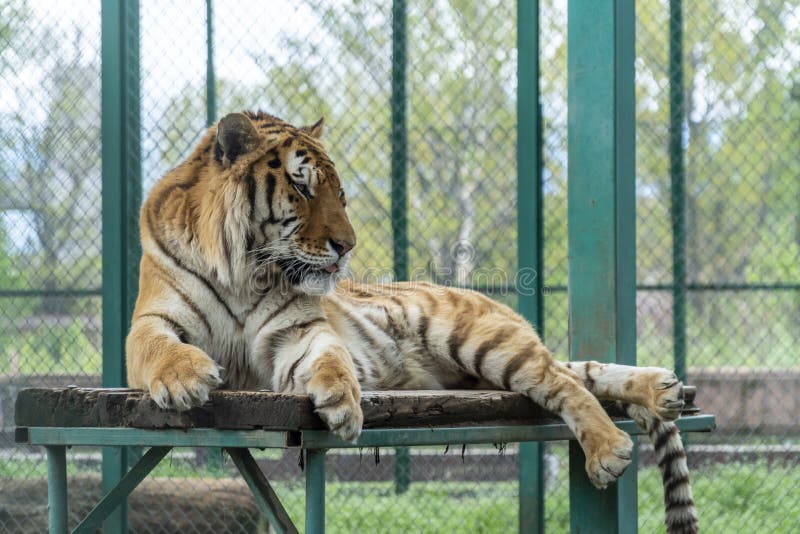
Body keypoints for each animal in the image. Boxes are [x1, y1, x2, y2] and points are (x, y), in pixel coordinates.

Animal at [126, 111, 698, 533]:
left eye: (341, 195)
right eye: (303, 189)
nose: (347, 246)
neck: (247, 268)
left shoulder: (298, 332)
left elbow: (329, 355)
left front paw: (343, 400)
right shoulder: (153, 320)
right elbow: (159, 348)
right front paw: (185, 379)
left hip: (479, 340)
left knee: (561, 379)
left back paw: (610, 447)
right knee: (574, 369)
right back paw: (661, 390)